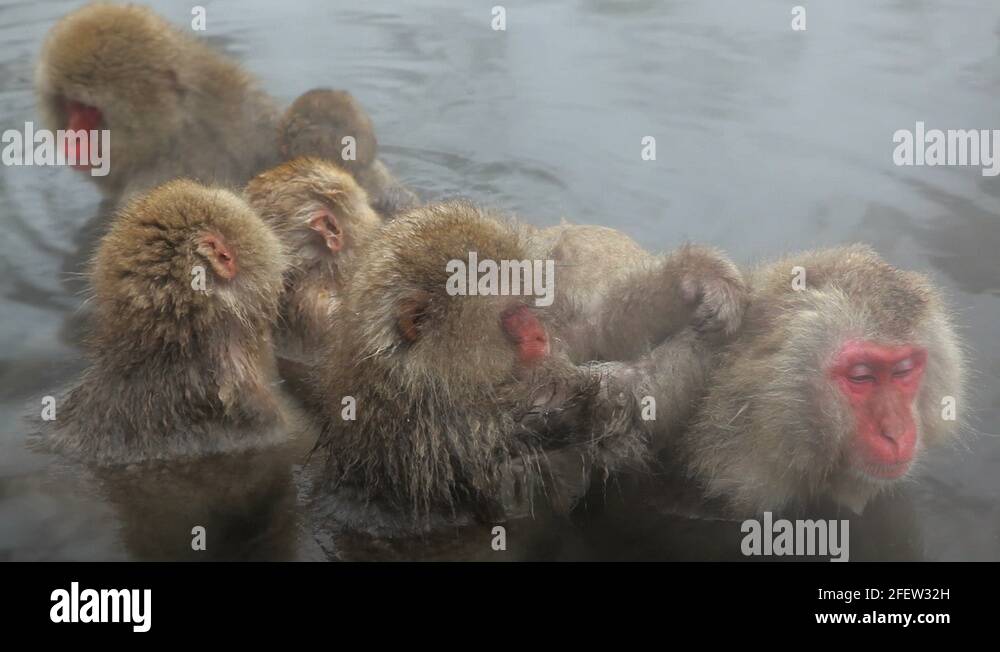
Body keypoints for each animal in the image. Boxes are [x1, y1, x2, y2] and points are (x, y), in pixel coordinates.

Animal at [312, 200, 748, 522]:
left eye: (529, 303)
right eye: (511, 315)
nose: (539, 335)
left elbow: (596, 329)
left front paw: (695, 278)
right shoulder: (470, 429)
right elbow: (616, 413)